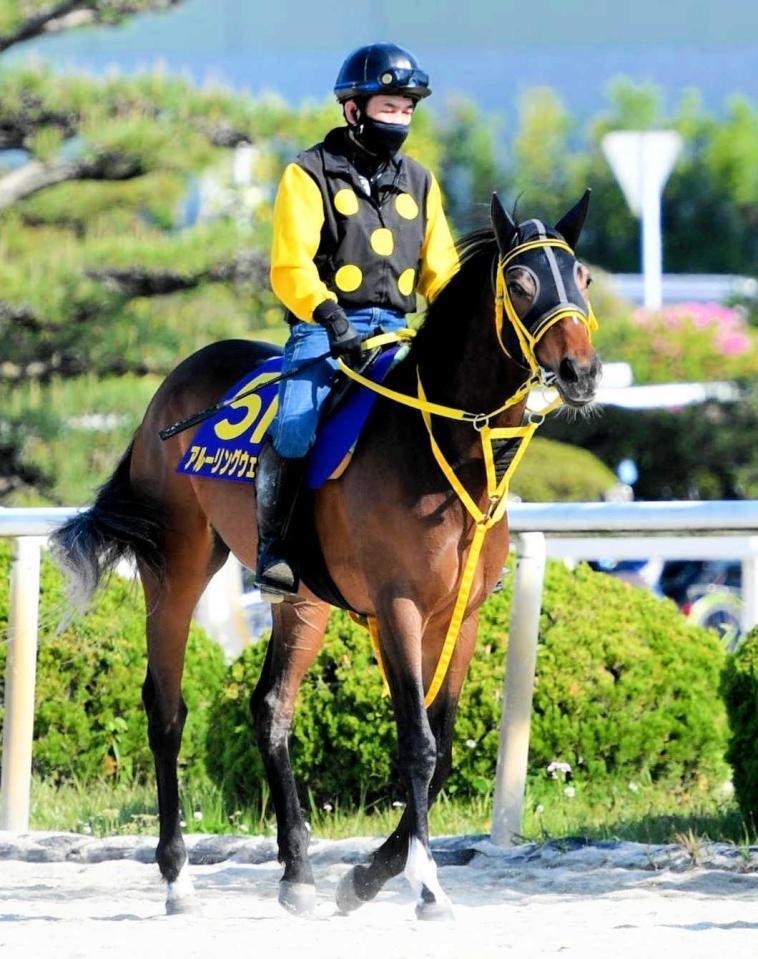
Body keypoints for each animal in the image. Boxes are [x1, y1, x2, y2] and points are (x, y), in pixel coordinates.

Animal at [51, 192, 602, 919]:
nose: (581, 372)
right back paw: (177, 876)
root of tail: (165, 395)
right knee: (166, 709)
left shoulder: (463, 615)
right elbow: (418, 744)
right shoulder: (396, 608)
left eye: (583, 279)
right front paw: (424, 885)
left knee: (271, 708)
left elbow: (443, 746)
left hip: (304, 599)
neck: (439, 449)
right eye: (521, 283)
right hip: (176, 565)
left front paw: (364, 875)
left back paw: (297, 872)